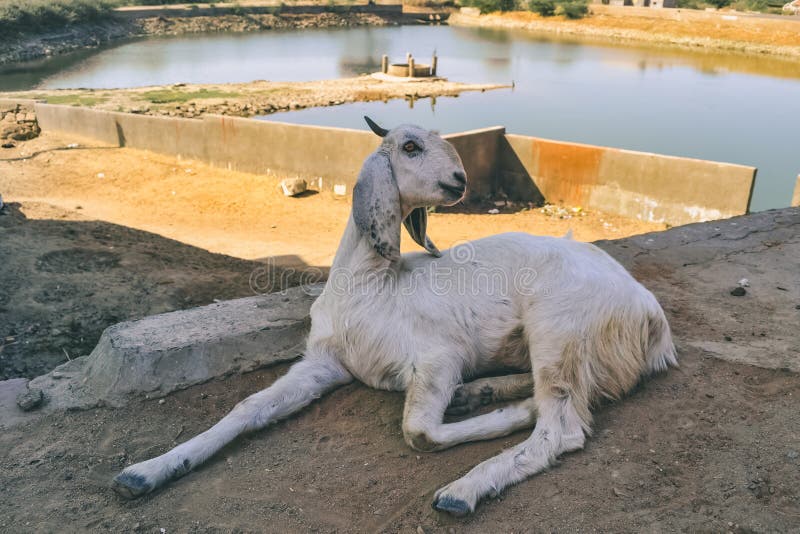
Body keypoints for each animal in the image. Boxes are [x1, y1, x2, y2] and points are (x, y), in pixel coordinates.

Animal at [112, 117, 677, 516]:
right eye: (409, 147)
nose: (460, 180)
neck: (371, 289)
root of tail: (653, 320)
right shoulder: (324, 363)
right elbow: (247, 407)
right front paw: (144, 472)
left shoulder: (438, 358)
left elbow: (418, 431)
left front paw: (509, 417)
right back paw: (481, 394)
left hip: (560, 328)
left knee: (559, 428)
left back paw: (467, 485)